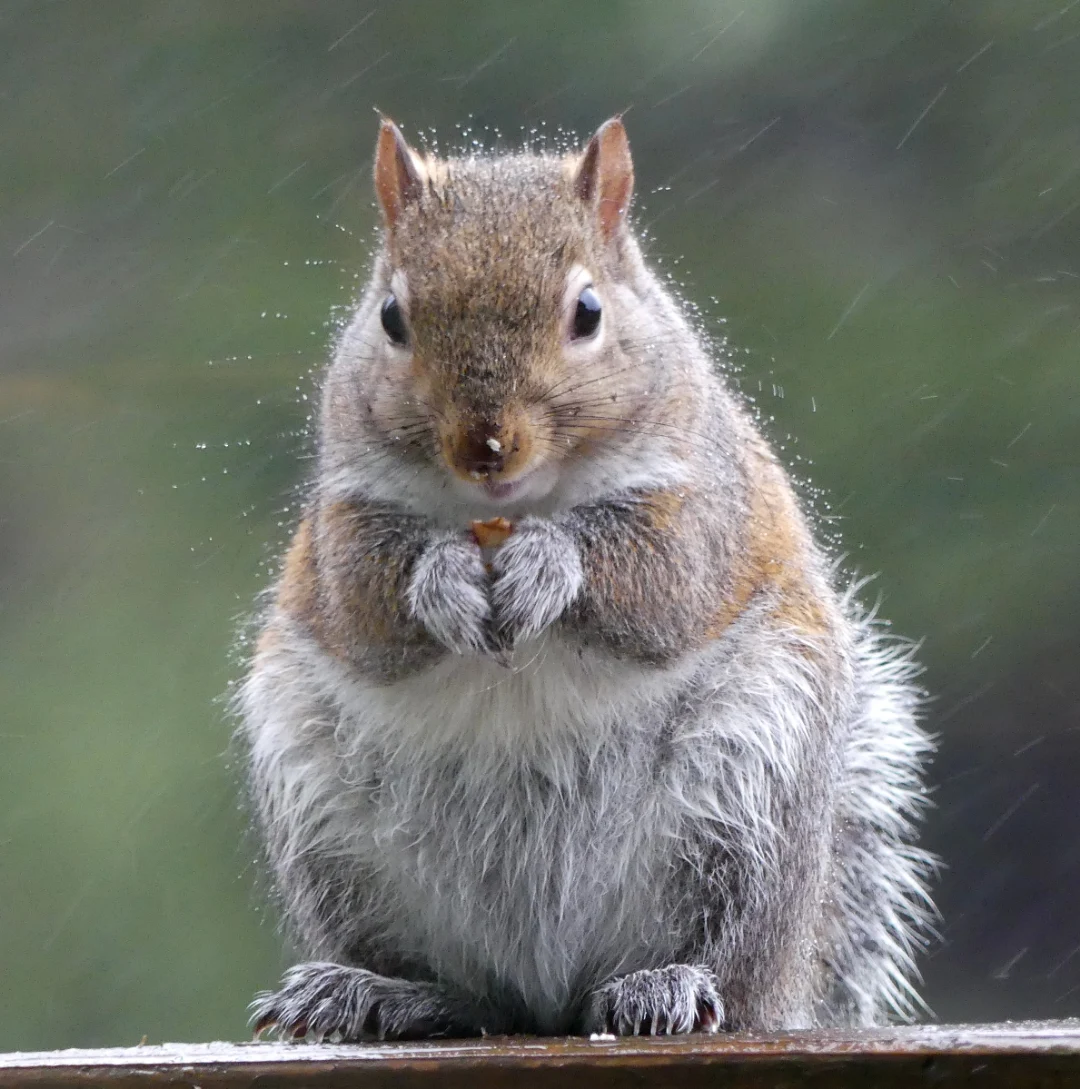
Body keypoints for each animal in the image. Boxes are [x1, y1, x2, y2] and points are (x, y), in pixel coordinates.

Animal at [238, 116, 935, 1040]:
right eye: (390, 317)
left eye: (589, 312)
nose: (486, 446)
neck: (508, 508)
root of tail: (552, 996)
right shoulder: (338, 529)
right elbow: (363, 607)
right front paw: (442, 578)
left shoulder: (702, 507)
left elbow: (659, 583)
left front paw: (548, 563)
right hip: (328, 829)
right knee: (470, 998)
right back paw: (380, 992)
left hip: (747, 792)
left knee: (732, 964)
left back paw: (666, 984)